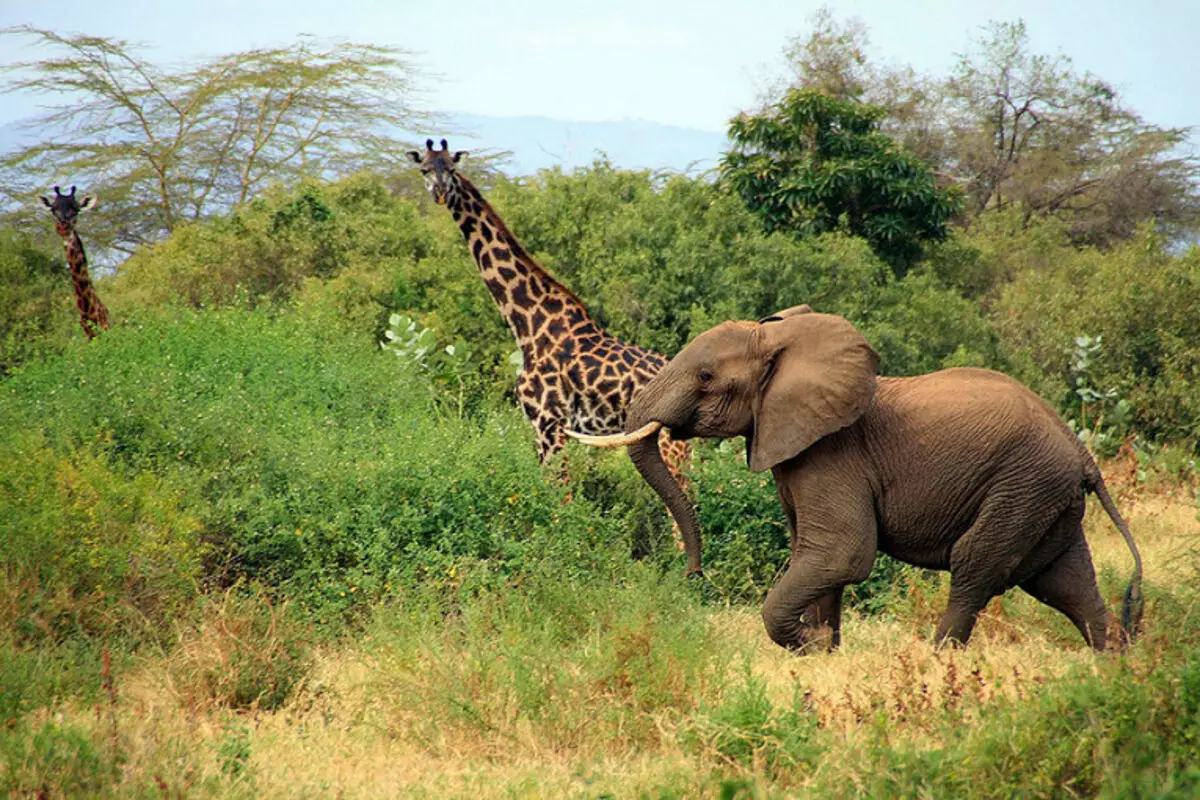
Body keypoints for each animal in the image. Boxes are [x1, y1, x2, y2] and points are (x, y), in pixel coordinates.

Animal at [405, 141, 696, 532]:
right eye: (425, 170)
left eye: (450, 169)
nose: (438, 194)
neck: (527, 324)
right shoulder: (548, 430)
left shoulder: (549, 424)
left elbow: (559, 501)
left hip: (669, 442)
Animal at [571, 307, 1142, 652]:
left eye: (706, 377)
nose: (692, 574)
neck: (779, 341)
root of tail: (1081, 451)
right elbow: (816, 555)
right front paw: (825, 649)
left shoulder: (833, 452)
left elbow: (839, 553)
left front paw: (810, 644)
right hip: (1046, 497)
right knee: (1064, 581)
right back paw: (1114, 665)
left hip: (1022, 486)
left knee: (976, 567)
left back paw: (938, 662)